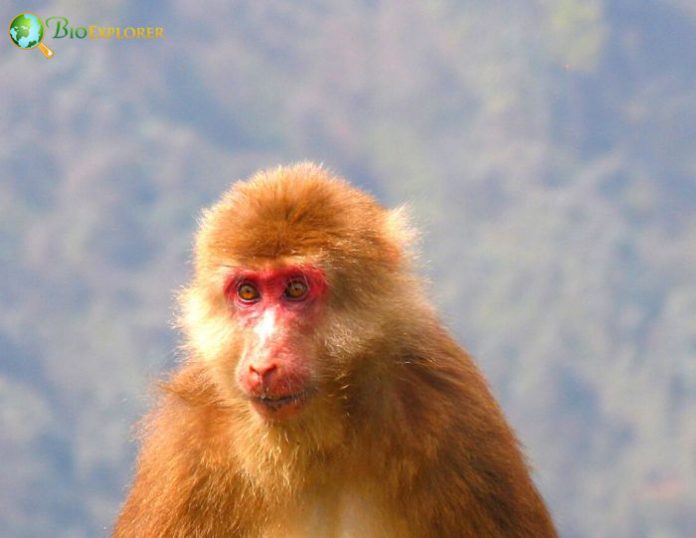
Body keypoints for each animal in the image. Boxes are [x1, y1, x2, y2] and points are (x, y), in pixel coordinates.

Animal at [113, 162, 557, 537]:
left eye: (295, 289)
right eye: (248, 292)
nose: (263, 364)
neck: (316, 448)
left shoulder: (453, 416)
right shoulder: (187, 451)